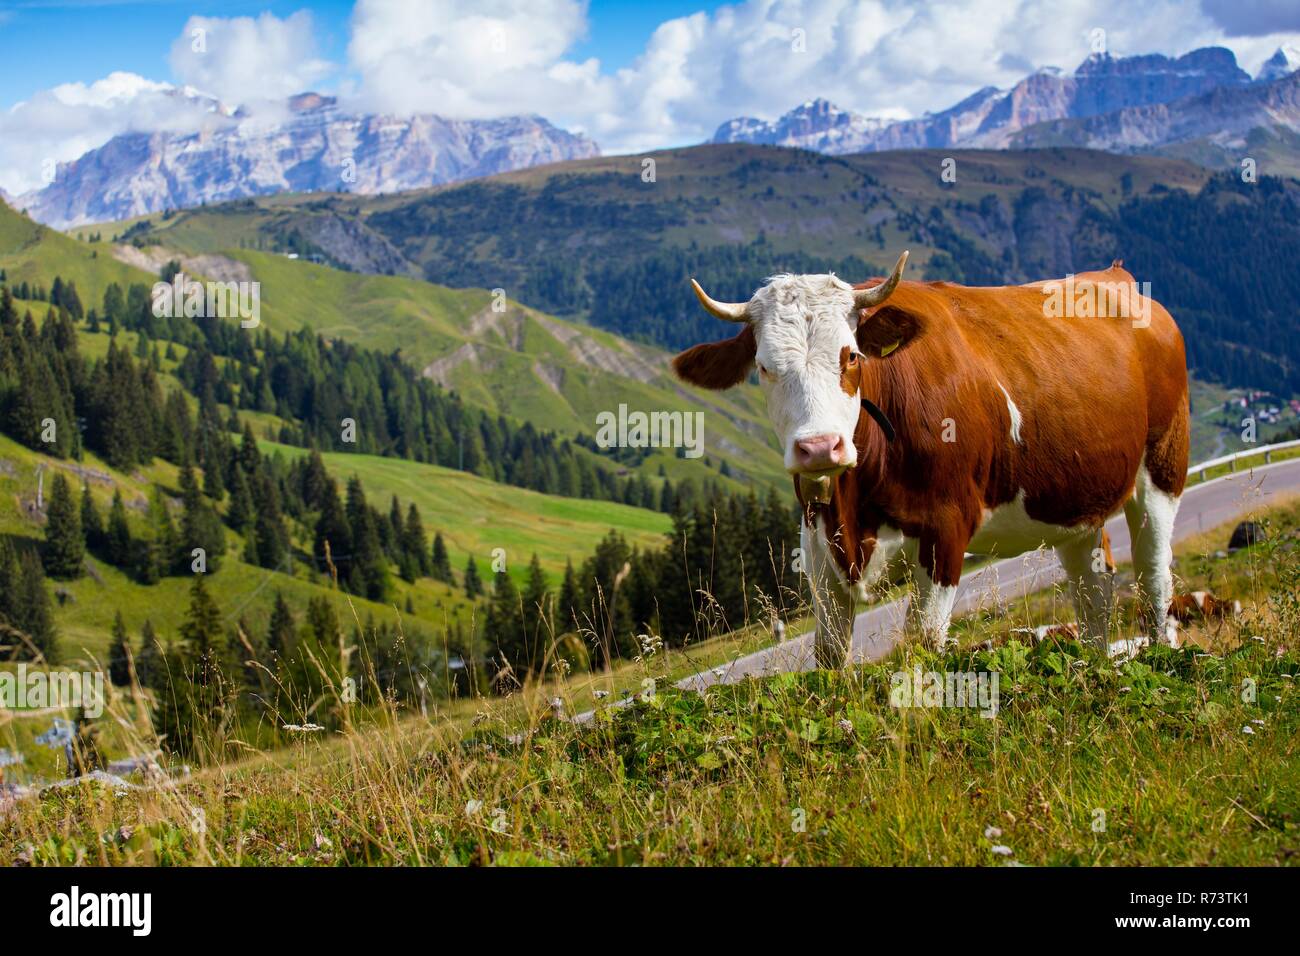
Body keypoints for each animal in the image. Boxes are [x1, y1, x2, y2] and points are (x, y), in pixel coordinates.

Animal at [673, 253, 1189, 667]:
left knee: (1154, 579)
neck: (854, 506)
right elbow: (830, 654)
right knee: (1094, 593)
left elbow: (922, 641)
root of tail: (1115, 276)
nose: (819, 447)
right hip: (1073, 504)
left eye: (852, 356)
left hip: (1162, 469)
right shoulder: (819, 543)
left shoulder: (946, 527)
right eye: (764, 367)